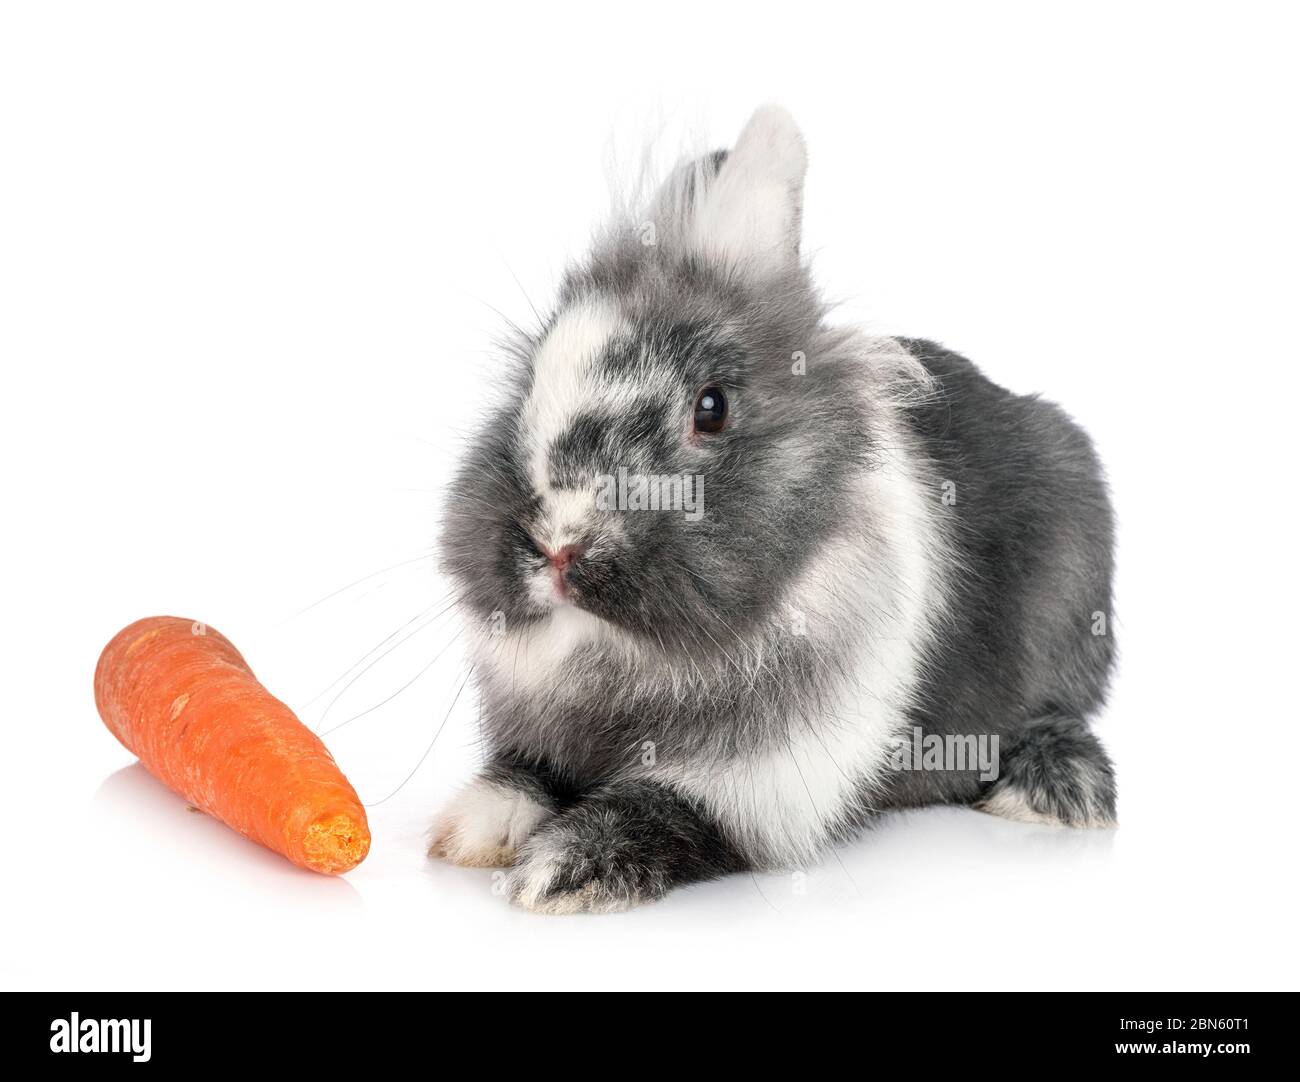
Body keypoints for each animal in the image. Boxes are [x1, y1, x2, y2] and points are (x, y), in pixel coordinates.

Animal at [429, 105, 1116, 913]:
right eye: (527, 383)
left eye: (712, 408)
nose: (558, 547)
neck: (630, 660)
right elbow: (526, 775)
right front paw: (473, 832)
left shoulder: (761, 787)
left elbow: (658, 811)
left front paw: (557, 876)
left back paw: (1053, 791)